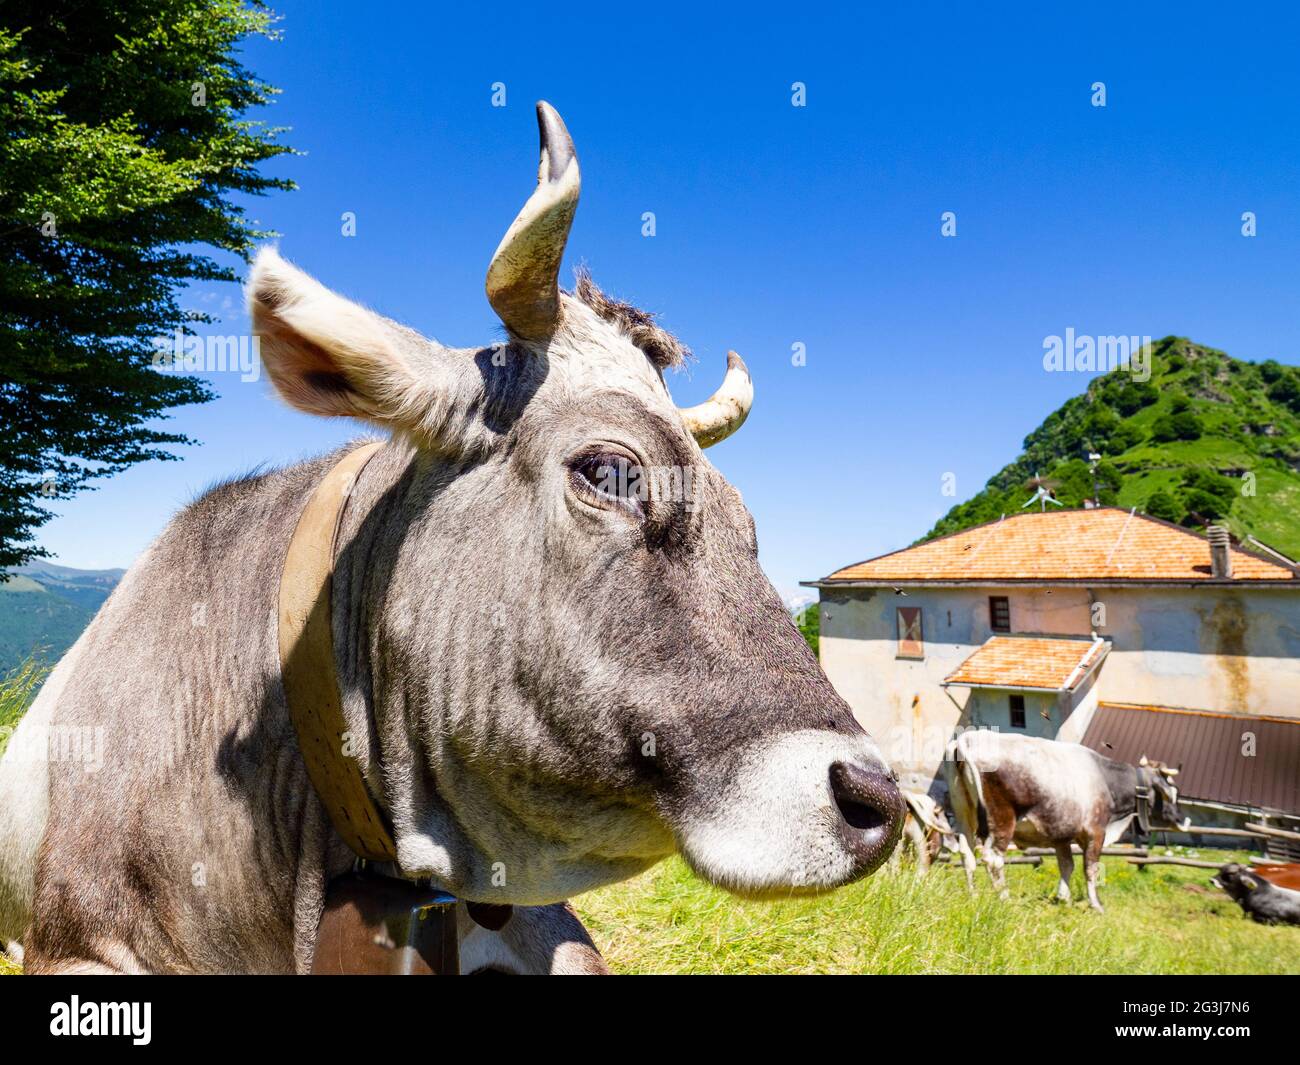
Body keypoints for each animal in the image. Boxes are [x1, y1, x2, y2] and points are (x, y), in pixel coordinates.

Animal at [944, 731, 1186, 912]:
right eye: (1171, 792)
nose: (1182, 820)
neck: (1104, 779)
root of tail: (967, 738)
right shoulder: (1096, 832)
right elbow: (1090, 868)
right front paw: (1095, 904)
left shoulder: (1061, 835)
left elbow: (1067, 865)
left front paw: (1063, 898)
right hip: (1002, 820)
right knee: (993, 858)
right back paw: (1004, 898)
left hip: (964, 815)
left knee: (967, 854)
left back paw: (973, 894)